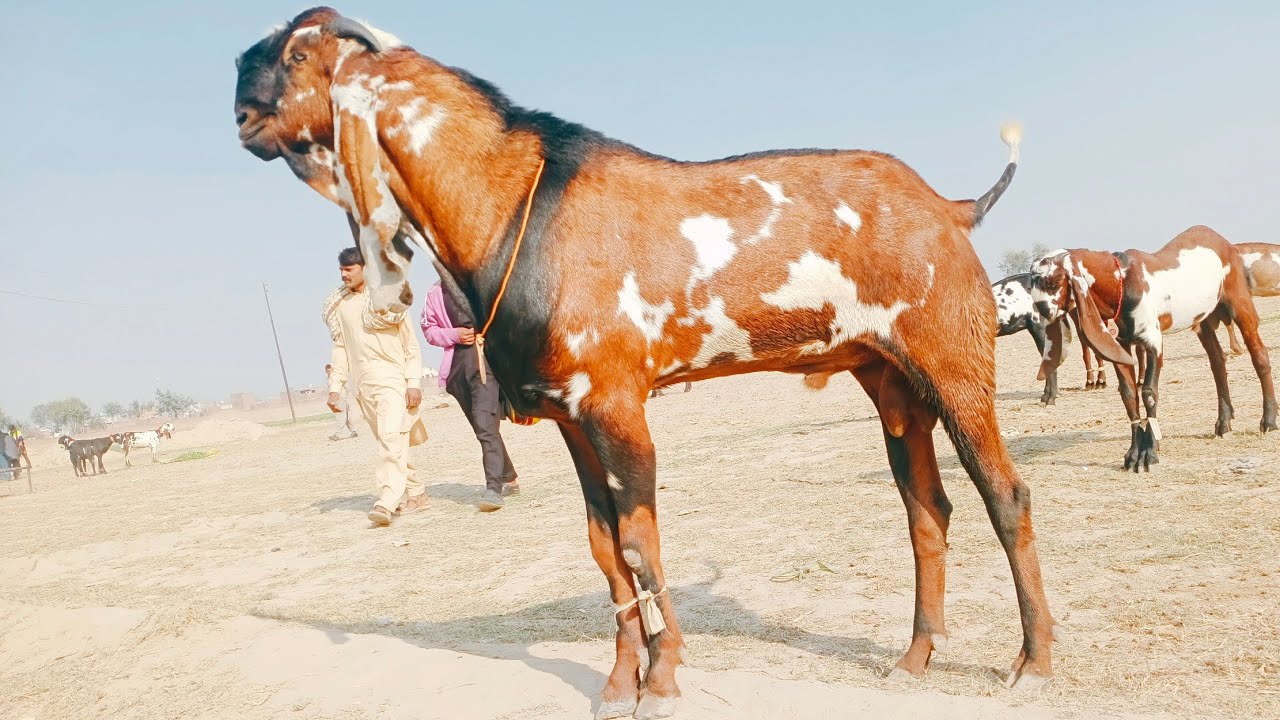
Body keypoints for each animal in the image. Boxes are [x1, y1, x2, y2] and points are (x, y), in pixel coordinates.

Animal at [234, 9, 1057, 711]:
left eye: (298, 55)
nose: (241, 112)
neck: (516, 205)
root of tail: (948, 208)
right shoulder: (570, 417)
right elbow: (603, 550)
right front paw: (616, 683)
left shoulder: (616, 406)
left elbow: (637, 541)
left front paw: (662, 679)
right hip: (891, 383)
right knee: (927, 507)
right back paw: (916, 655)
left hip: (954, 365)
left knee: (1004, 493)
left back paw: (1033, 661)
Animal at [1029, 227, 1277, 472]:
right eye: (1031, 283)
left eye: (1052, 281)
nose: (1041, 309)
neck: (1122, 281)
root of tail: (1225, 243)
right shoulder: (1120, 347)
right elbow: (1128, 394)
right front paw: (1133, 453)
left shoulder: (1153, 343)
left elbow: (1149, 392)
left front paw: (1150, 453)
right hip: (1204, 321)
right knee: (1217, 362)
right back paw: (1224, 422)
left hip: (1240, 304)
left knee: (1259, 355)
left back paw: (1269, 420)